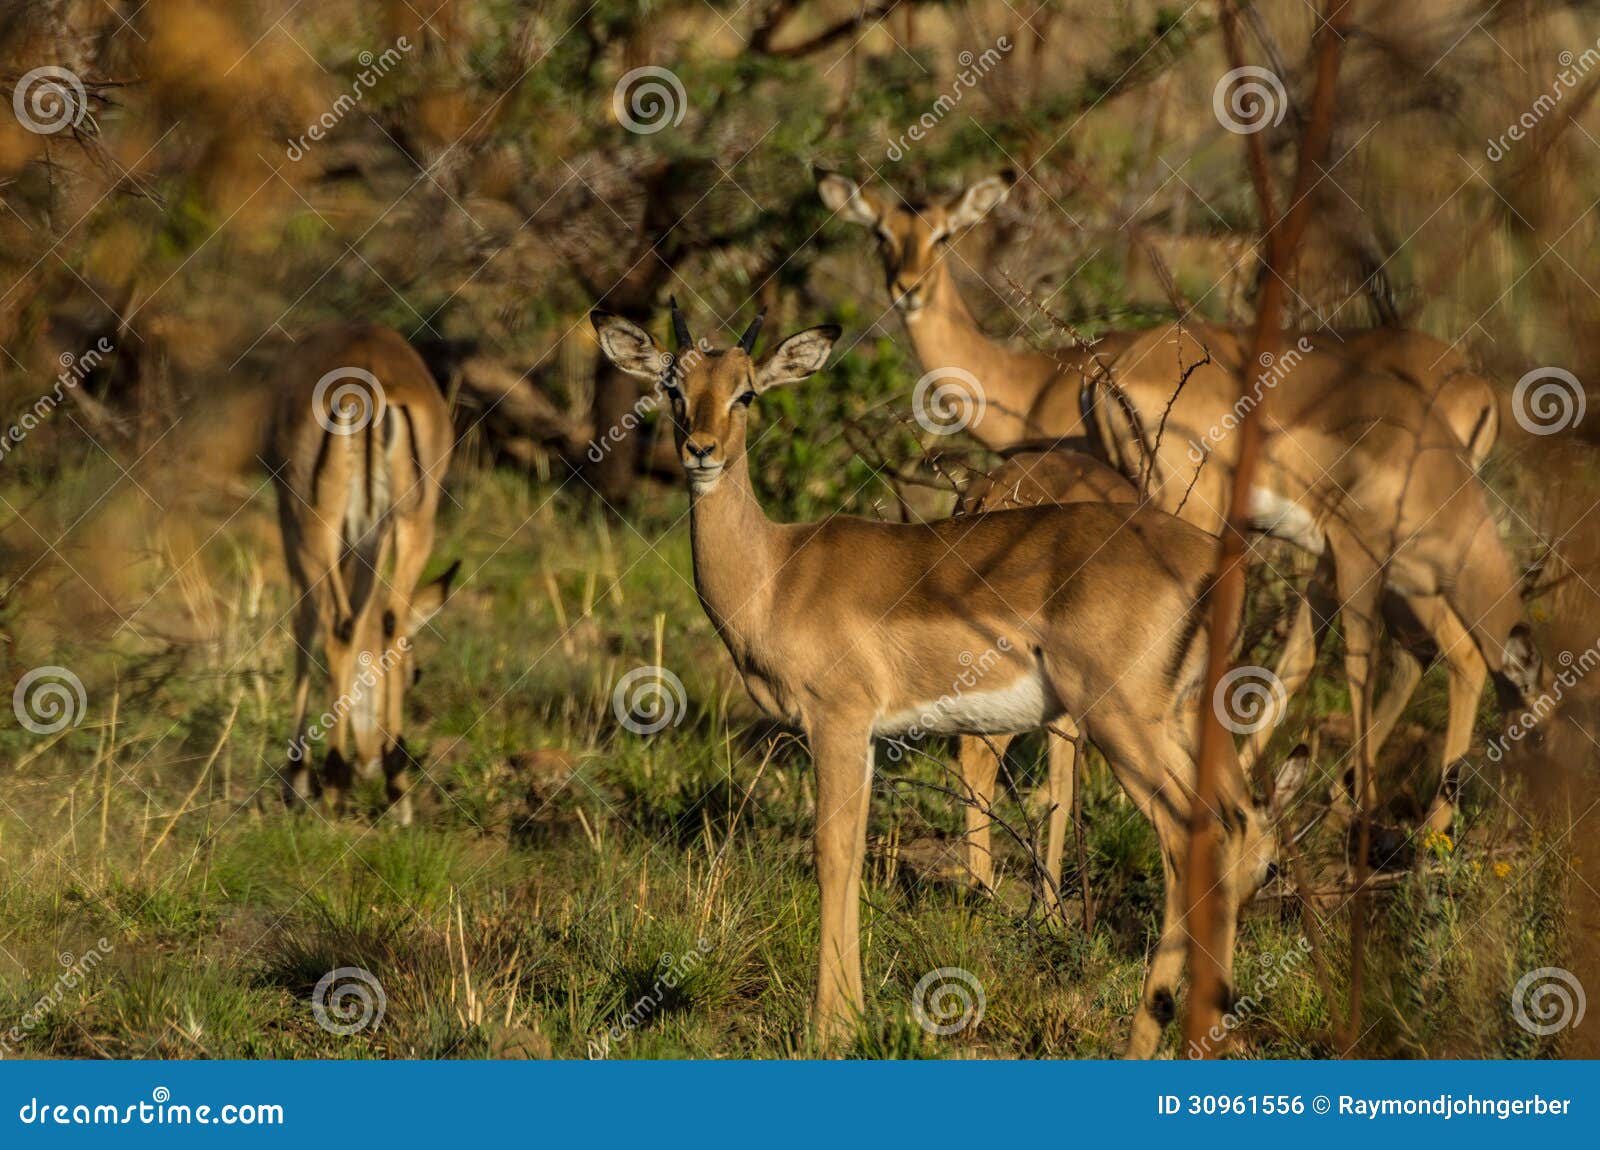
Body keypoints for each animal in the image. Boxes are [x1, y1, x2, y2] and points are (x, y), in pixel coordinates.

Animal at [271, 324, 458, 826]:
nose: (369, 761)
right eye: (417, 675)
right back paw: (397, 789)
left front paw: (298, 775)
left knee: (336, 625)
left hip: (317, 524)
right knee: (389, 617)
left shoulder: (292, 522)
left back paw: (334, 782)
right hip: (415, 521)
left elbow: (304, 623)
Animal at [591, 302, 1304, 1057]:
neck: (776, 573)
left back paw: (1147, 1032)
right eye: (672, 385)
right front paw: (852, 1018)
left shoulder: (836, 720)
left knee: (1194, 835)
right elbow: (855, 849)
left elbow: (832, 852)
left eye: (746, 392)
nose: (700, 450)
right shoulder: (866, 737)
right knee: (1244, 826)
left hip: (1122, 721)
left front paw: (827, 1029)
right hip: (1187, 721)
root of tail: (1214, 564)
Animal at [818, 169, 1507, 839]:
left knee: (1439, 652)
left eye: (944, 235)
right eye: (881, 232)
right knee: (1395, 652)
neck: (1038, 380)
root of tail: (1476, 385)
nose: (906, 288)